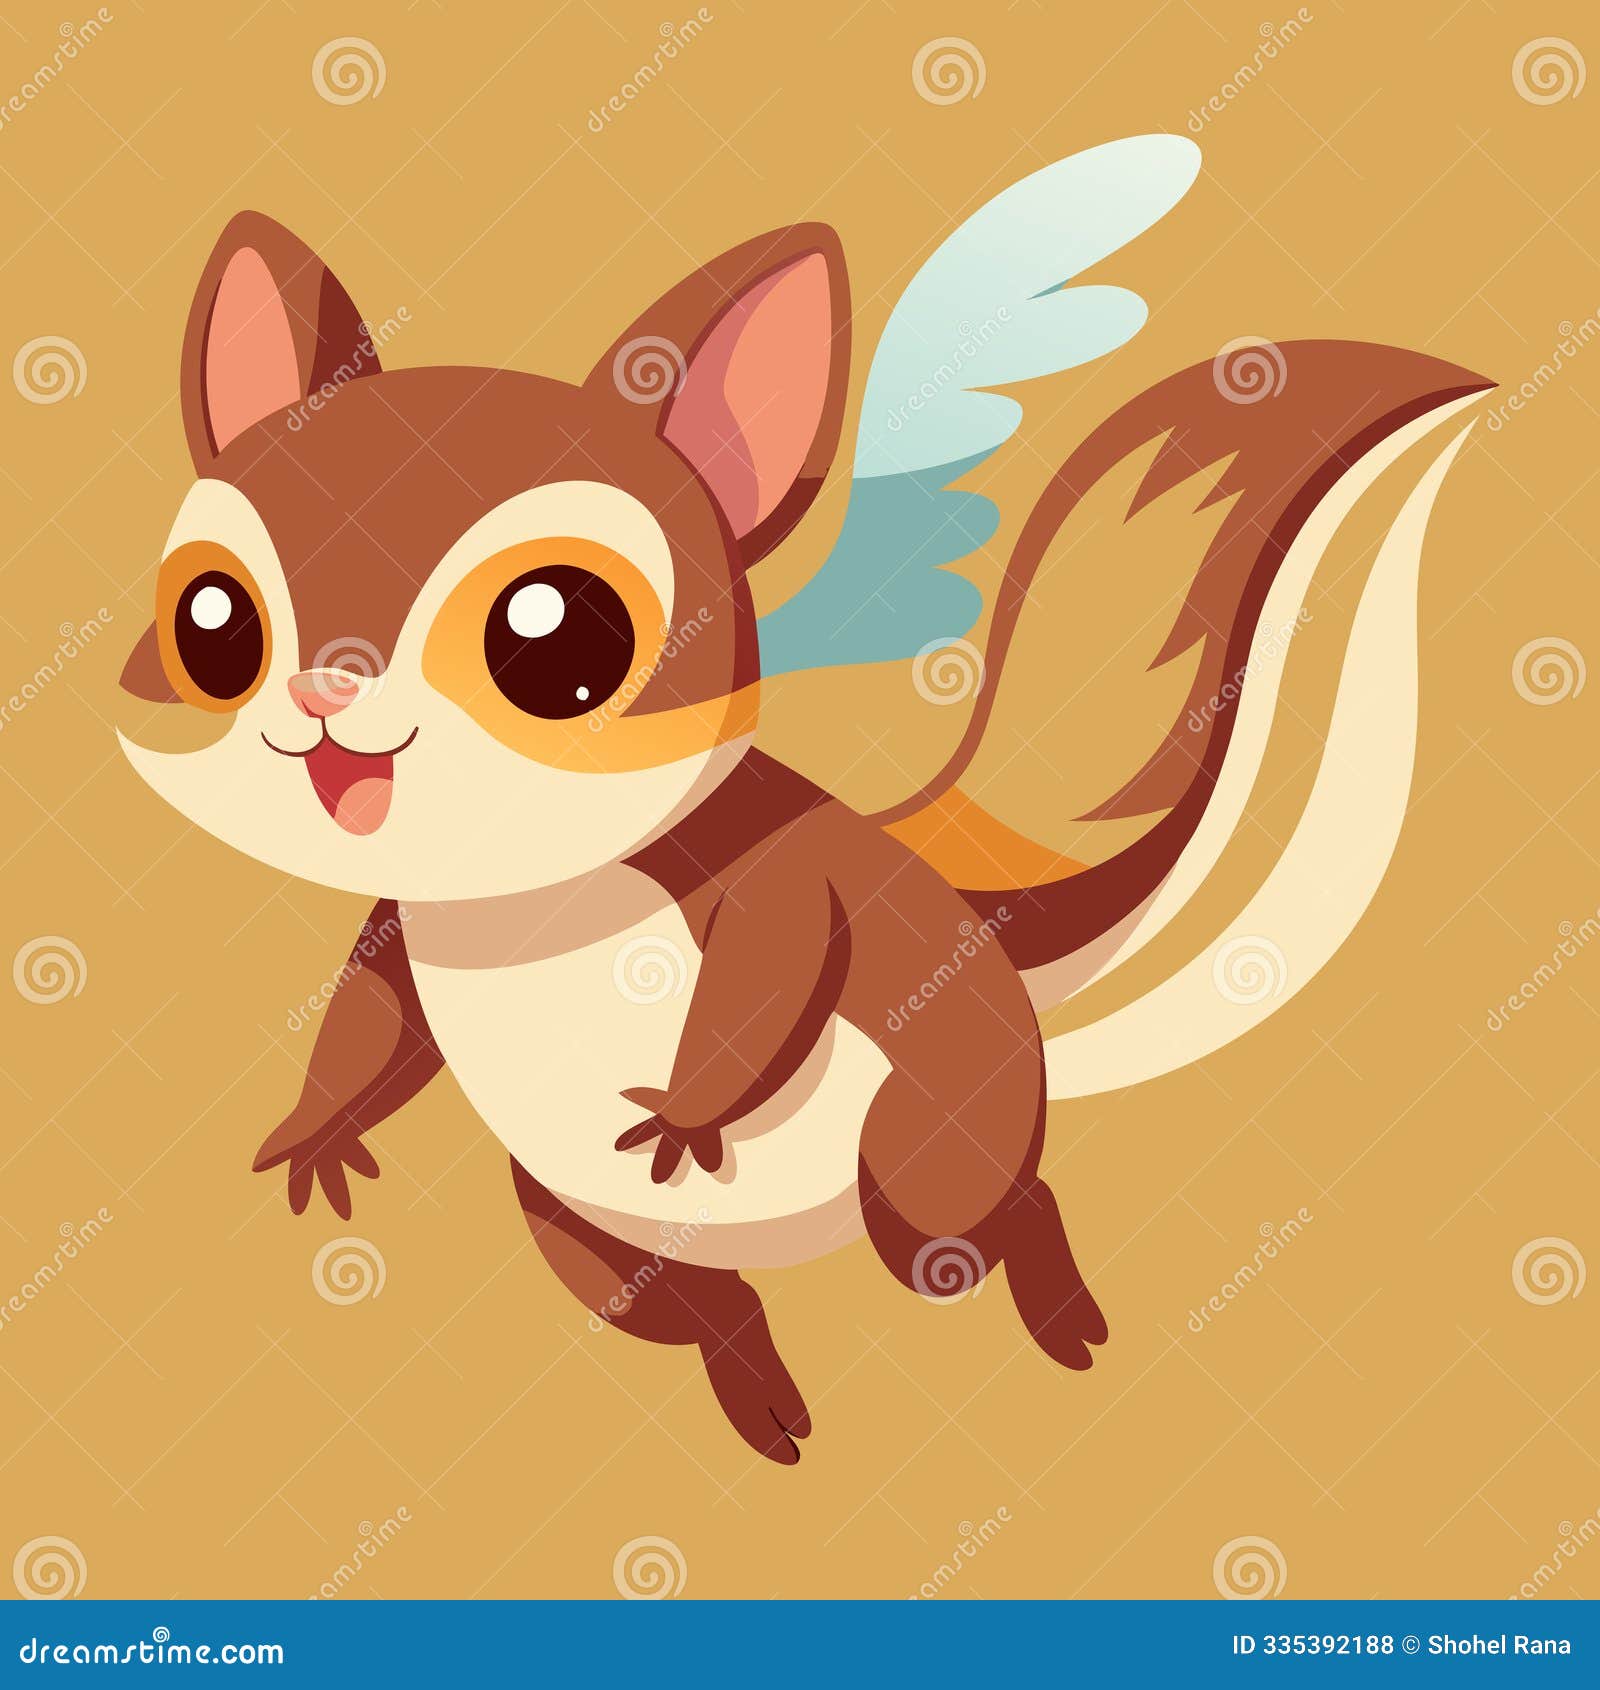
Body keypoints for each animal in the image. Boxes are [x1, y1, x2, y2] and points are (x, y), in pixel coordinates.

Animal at [118, 197, 1489, 1464]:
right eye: (211, 622)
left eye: (556, 636)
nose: (323, 696)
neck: (524, 897)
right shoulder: (409, 929)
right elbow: (371, 1021)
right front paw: (316, 1130)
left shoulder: (773, 877)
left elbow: (770, 971)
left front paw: (685, 1111)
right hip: (573, 1219)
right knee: (690, 1298)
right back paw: (762, 1398)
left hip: (934, 1128)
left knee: (981, 1210)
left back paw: (1049, 1312)